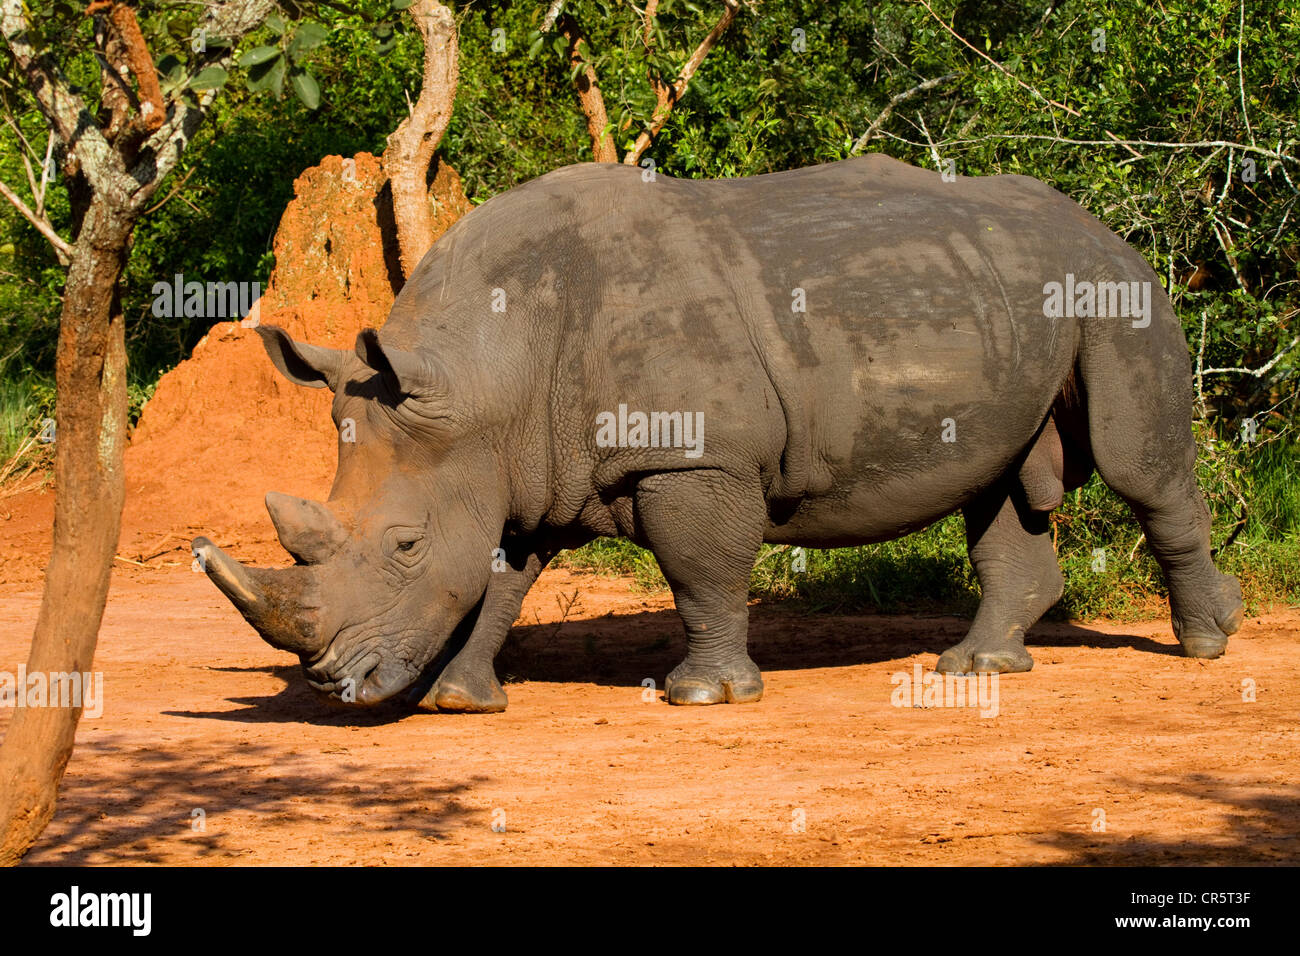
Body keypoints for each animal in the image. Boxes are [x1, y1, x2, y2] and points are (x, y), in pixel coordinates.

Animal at [192, 154, 1244, 711]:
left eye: (404, 547)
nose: (335, 685)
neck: (486, 375)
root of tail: (1106, 227)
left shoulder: (693, 452)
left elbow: (702, 568)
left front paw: (703, 698)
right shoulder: (516, 463)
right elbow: (501, 576)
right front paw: (462, 700)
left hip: (1111, 287)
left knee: (1135, 465)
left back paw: (1205, 648)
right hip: (1001, 294)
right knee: (1001, 480)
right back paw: (980, 668)